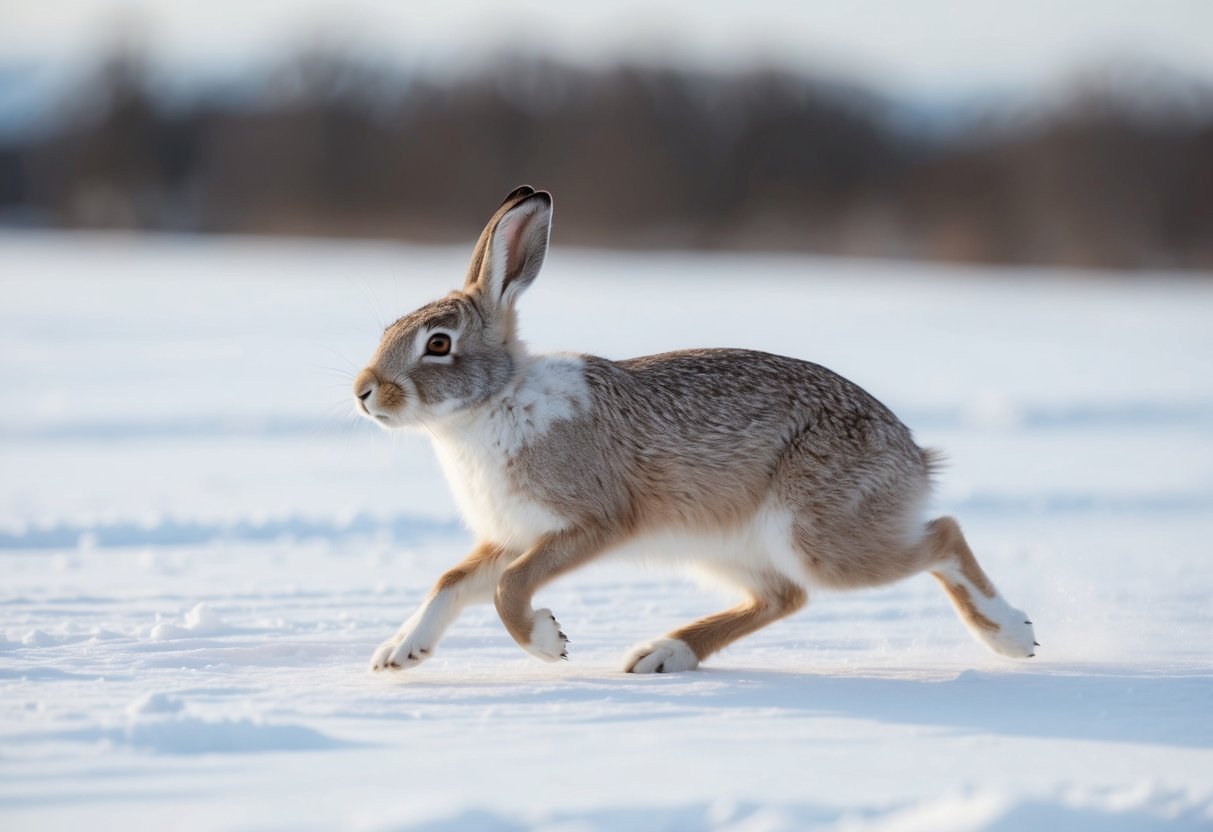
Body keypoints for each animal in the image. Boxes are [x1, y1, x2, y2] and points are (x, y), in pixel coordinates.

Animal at [353, 185, 1037, 673]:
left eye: (438, 344)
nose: (364, 392)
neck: (493, 402)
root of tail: (913, 457)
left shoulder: (592, 522)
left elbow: (508, 588)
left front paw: (547, 641)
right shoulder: (512, 534)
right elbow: (453, 581)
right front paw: (399, 653)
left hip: (819, 535)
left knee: (942, 536)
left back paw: (1011, 635)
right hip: (727, 547)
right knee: (784, 597)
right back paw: (661, 655)